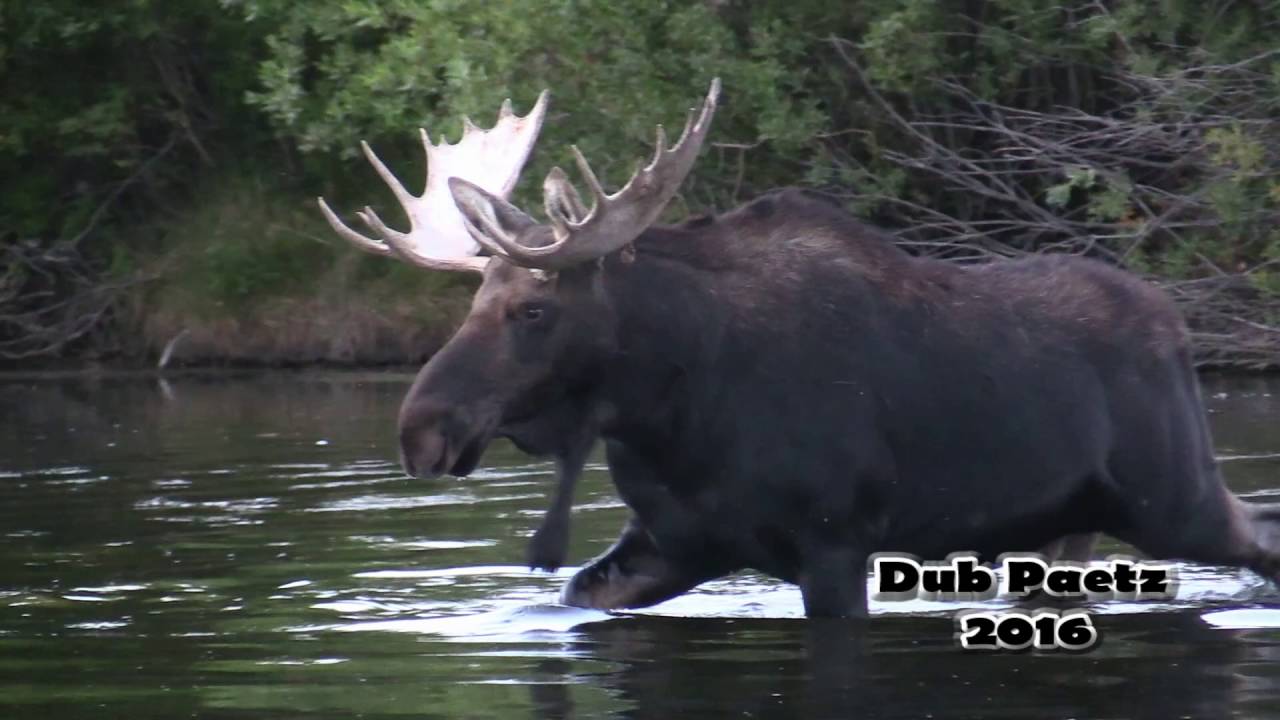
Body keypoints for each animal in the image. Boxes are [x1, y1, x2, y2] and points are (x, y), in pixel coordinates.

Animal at [318, 80, 1280, 618]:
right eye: (476, 299)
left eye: (531, 309)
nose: (420, 428)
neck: (668, 412)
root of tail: (1178, 327)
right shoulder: (674, 543)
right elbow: (573, 593)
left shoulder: (835, 540)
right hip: (1061, 528)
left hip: (1170, 496)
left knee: (1261, 530)